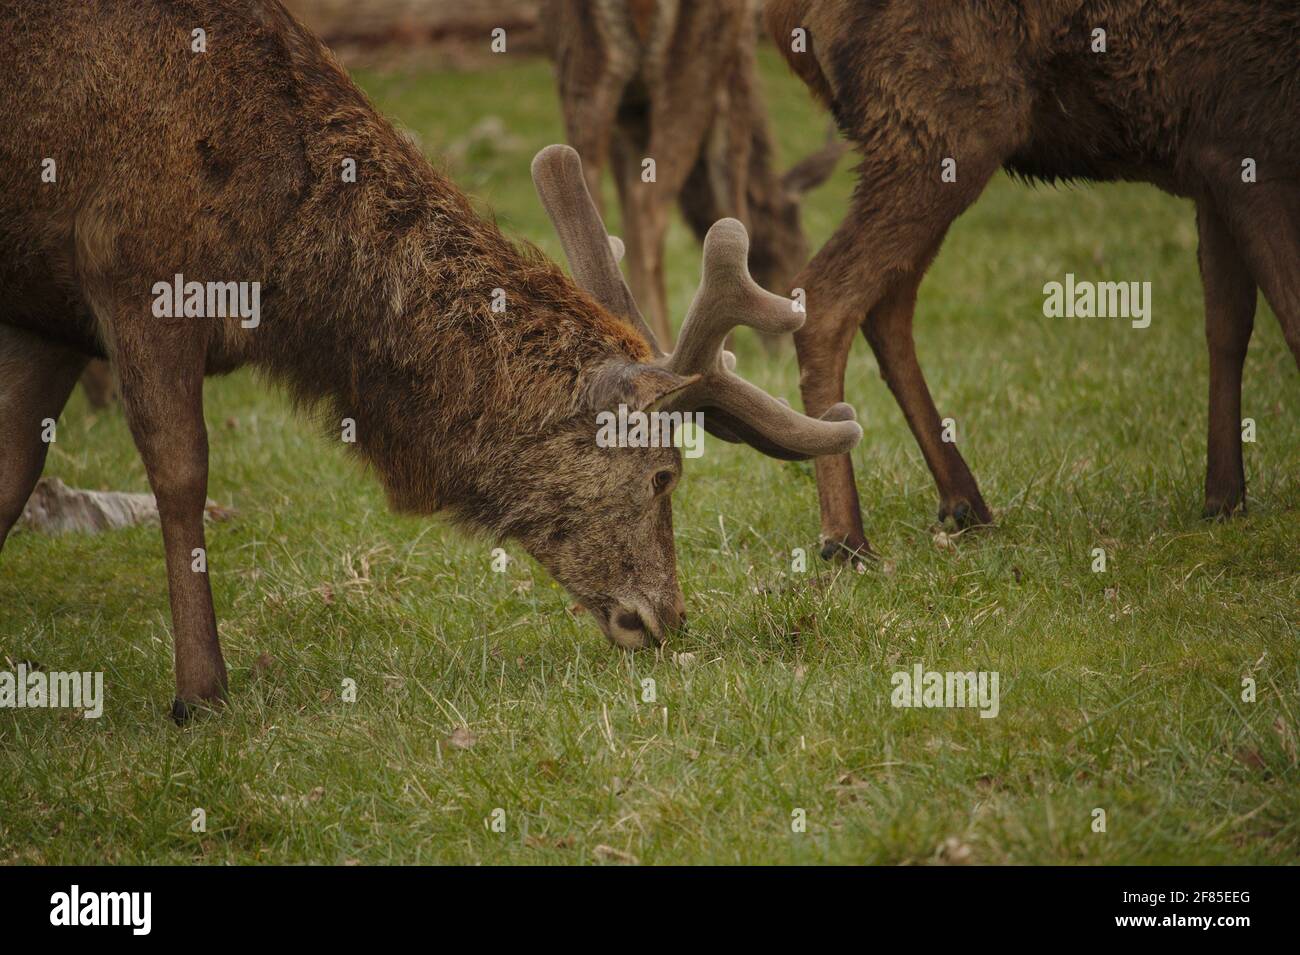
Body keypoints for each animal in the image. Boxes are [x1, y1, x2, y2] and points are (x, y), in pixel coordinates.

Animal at [543, 0, 846, 347]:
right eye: (801, 246)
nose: (784, 339)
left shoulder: (630, 118)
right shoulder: (734, 76)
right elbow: (733, 204)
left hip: (583, 64)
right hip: (690, 65)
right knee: (649, 210)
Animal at [766, 0, 1300, 561]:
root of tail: (783, 17)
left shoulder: (1210, 169)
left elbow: (1228, 326)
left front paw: (1224, 498)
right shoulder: (1242, 143)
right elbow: (1292, 321)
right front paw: (1228, 500)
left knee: (887, 306)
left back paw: (965, 503)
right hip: (939, 126)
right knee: (827, 296)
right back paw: (846, 538)